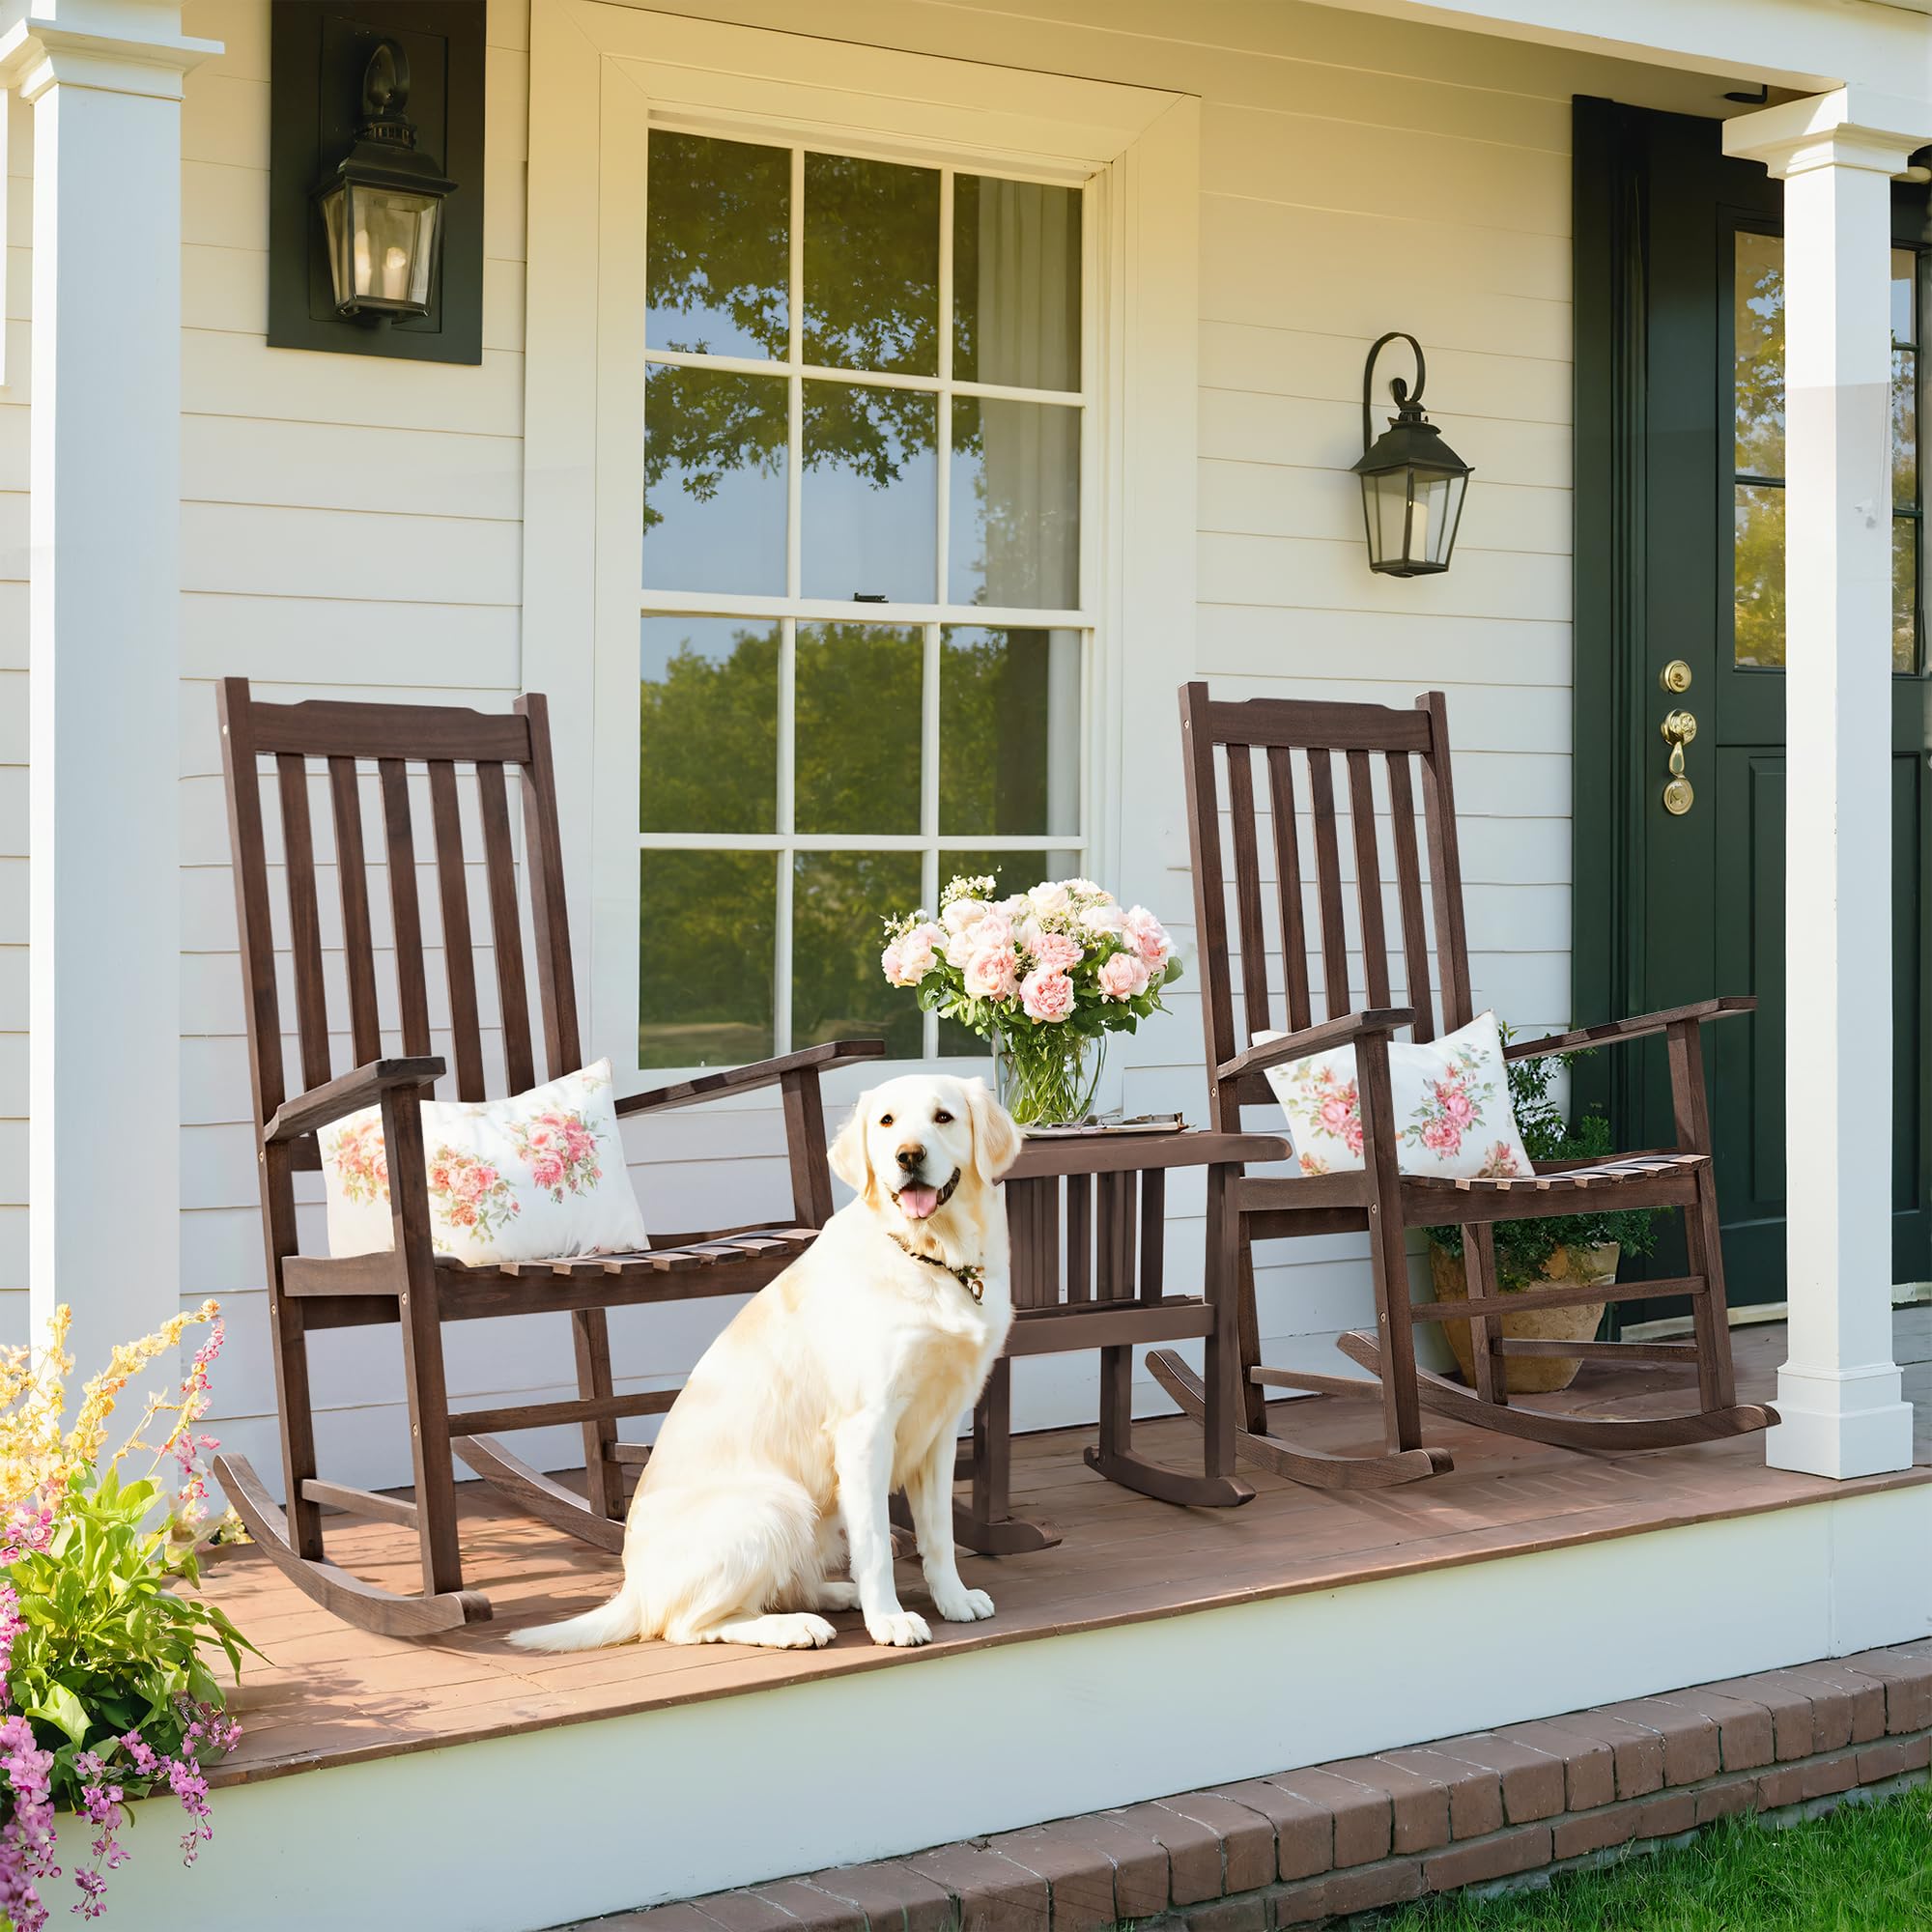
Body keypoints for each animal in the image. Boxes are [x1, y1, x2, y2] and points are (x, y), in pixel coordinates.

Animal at [514, 1074, 1028, 1646]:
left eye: (943, 1117)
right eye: (887, 1121)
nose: (908, 1156)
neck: (932, 1256)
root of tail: (634, 1589)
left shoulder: (939, 1429)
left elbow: (938, 1532)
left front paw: (954, 1599)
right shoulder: (866, 1427)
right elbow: (876, 1543)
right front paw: (890, 1620)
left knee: (779, 1588)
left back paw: (834, 1597)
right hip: (778, 1501)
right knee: (687, 1625)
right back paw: (792, 1627)